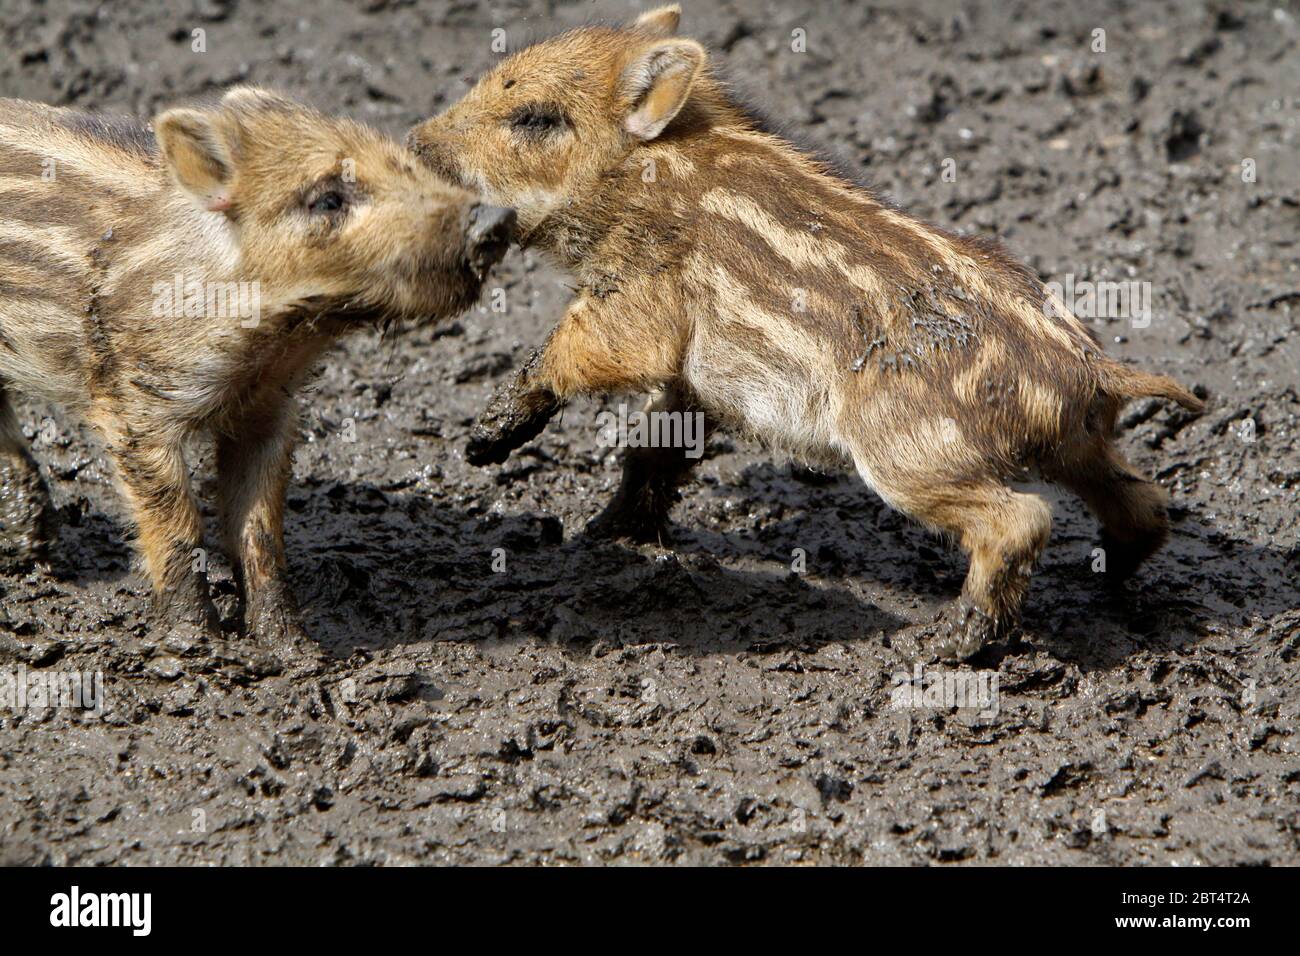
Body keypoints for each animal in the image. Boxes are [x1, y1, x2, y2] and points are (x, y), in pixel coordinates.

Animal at [0, 87, 515, 665]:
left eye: (403, 164)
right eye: (329, 199)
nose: (497, 220)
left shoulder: (270, 411)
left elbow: (262, 528)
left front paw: (295, 650)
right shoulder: (134, 407)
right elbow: (176, 525)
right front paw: (196, 643)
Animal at [406, 6, 1203, 660]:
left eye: (535, 119)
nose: (413, 140)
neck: (648, 174)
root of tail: (1092, 370)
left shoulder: (638, 308)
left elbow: (572, 354)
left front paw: (482, 444)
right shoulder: (696, 382)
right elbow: (654, 453)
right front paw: (602, 535)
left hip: (912, 453)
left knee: (1021, 521)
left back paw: (945, 643)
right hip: (1080, 443)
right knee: (1141, 500)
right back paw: (1113, 577)